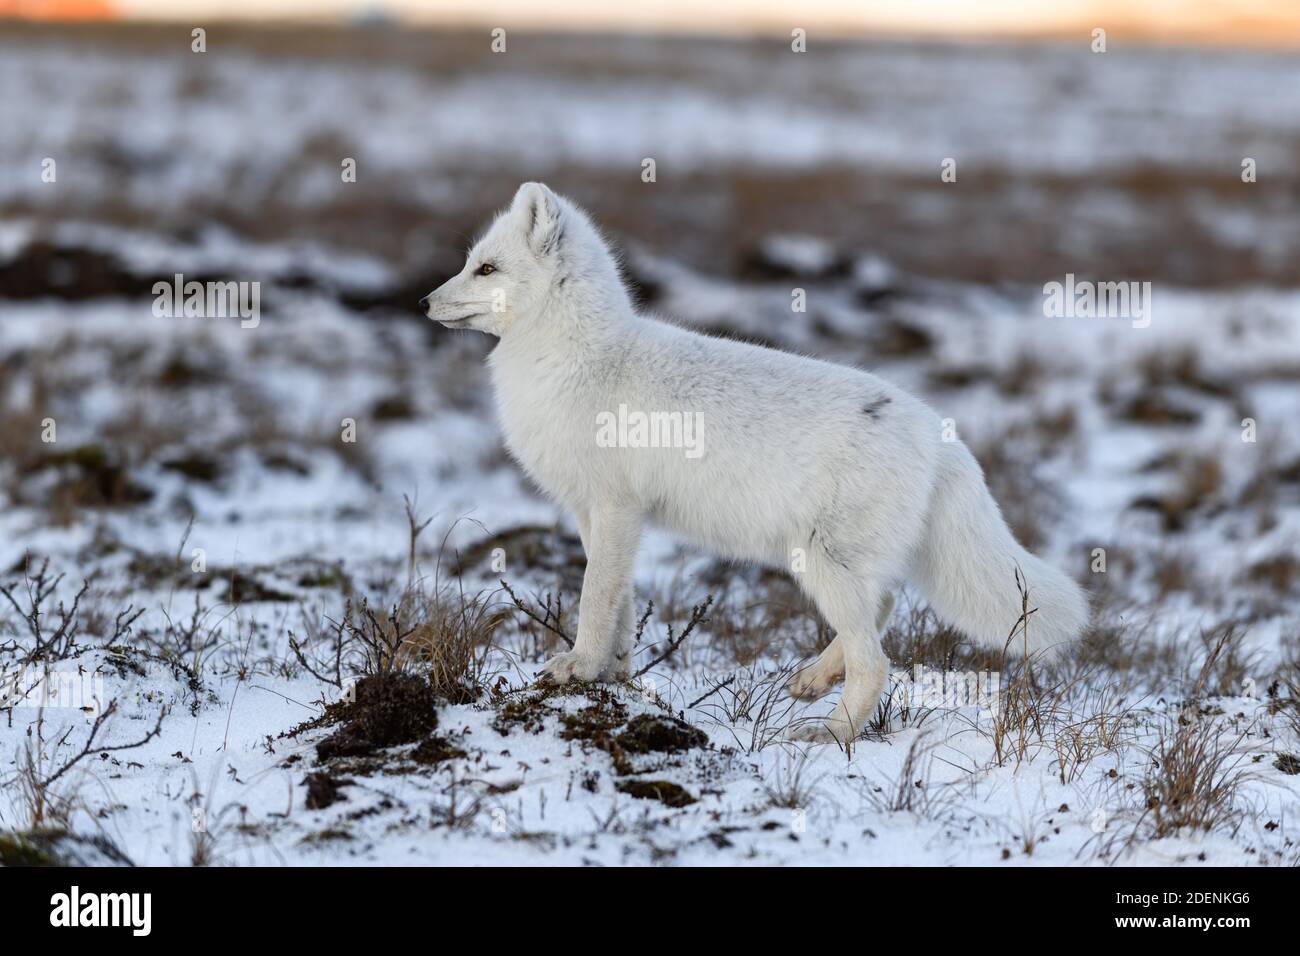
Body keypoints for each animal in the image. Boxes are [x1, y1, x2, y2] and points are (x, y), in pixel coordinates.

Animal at [420, 182, 1088, 743]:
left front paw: (578, 666)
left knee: (877, 658)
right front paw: (614, 673)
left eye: (486, 268)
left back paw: (830, 734)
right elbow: (621, 602)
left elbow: (593, 595)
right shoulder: (597, 513)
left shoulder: (615, 507)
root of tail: (939, 432)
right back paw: (813, 680)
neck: (578, 358)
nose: (424, 301)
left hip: (824, 560)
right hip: (830, 560)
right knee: (885, 609)